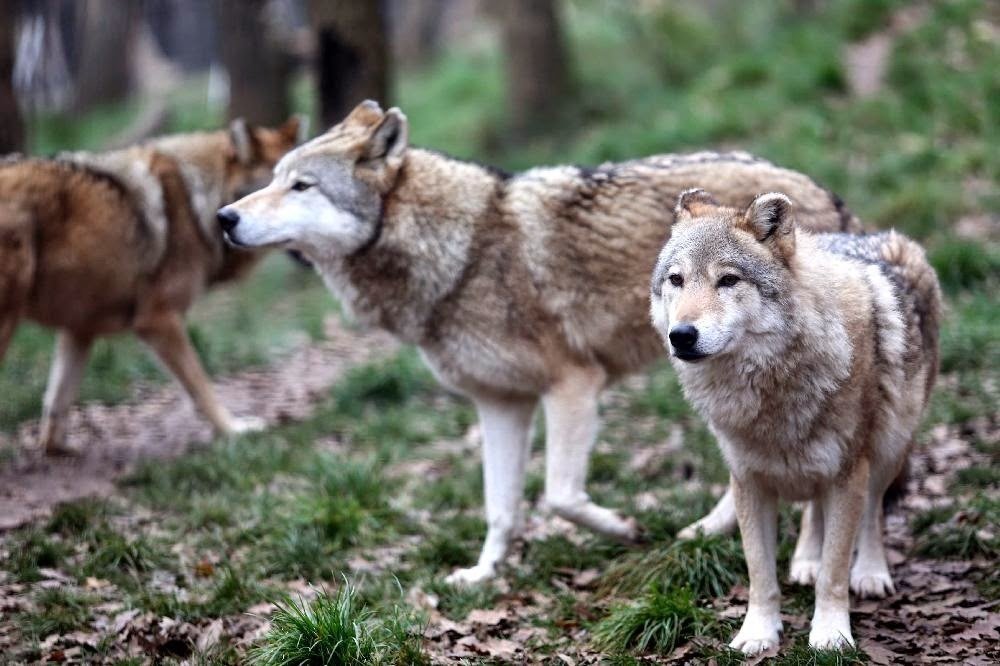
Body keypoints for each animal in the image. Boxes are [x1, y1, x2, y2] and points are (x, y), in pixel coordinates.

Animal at [0, 116, 302, 454]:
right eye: (279, 186)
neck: (200, 202)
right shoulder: (159, 320)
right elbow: (201, 387)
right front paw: (233, 430)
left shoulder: (80, 330)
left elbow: (56, 403)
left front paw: (56, 450)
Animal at [218, 100, 862, 586]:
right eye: (272, 179)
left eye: (300, 185)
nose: (224, 216)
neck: (460, 255)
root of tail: (824, 192)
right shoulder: (499, 404)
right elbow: (500, 506)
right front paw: (482, 574)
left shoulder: (572, 385)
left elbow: (558, 497)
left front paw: (625, 528)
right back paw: (708, 531)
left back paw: (801, 559)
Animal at [649, 189, 940, 653]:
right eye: (676, 280)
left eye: (728, 280)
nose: (682, 335)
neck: (770, 390)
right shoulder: (748, 480)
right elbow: (760, 574)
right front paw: (757, 633)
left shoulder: (848, 473)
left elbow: (834, 572)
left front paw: (831, 634)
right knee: (812, 508)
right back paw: (805, 559)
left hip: (889, 448)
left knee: (873, 512)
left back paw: (870, 572)